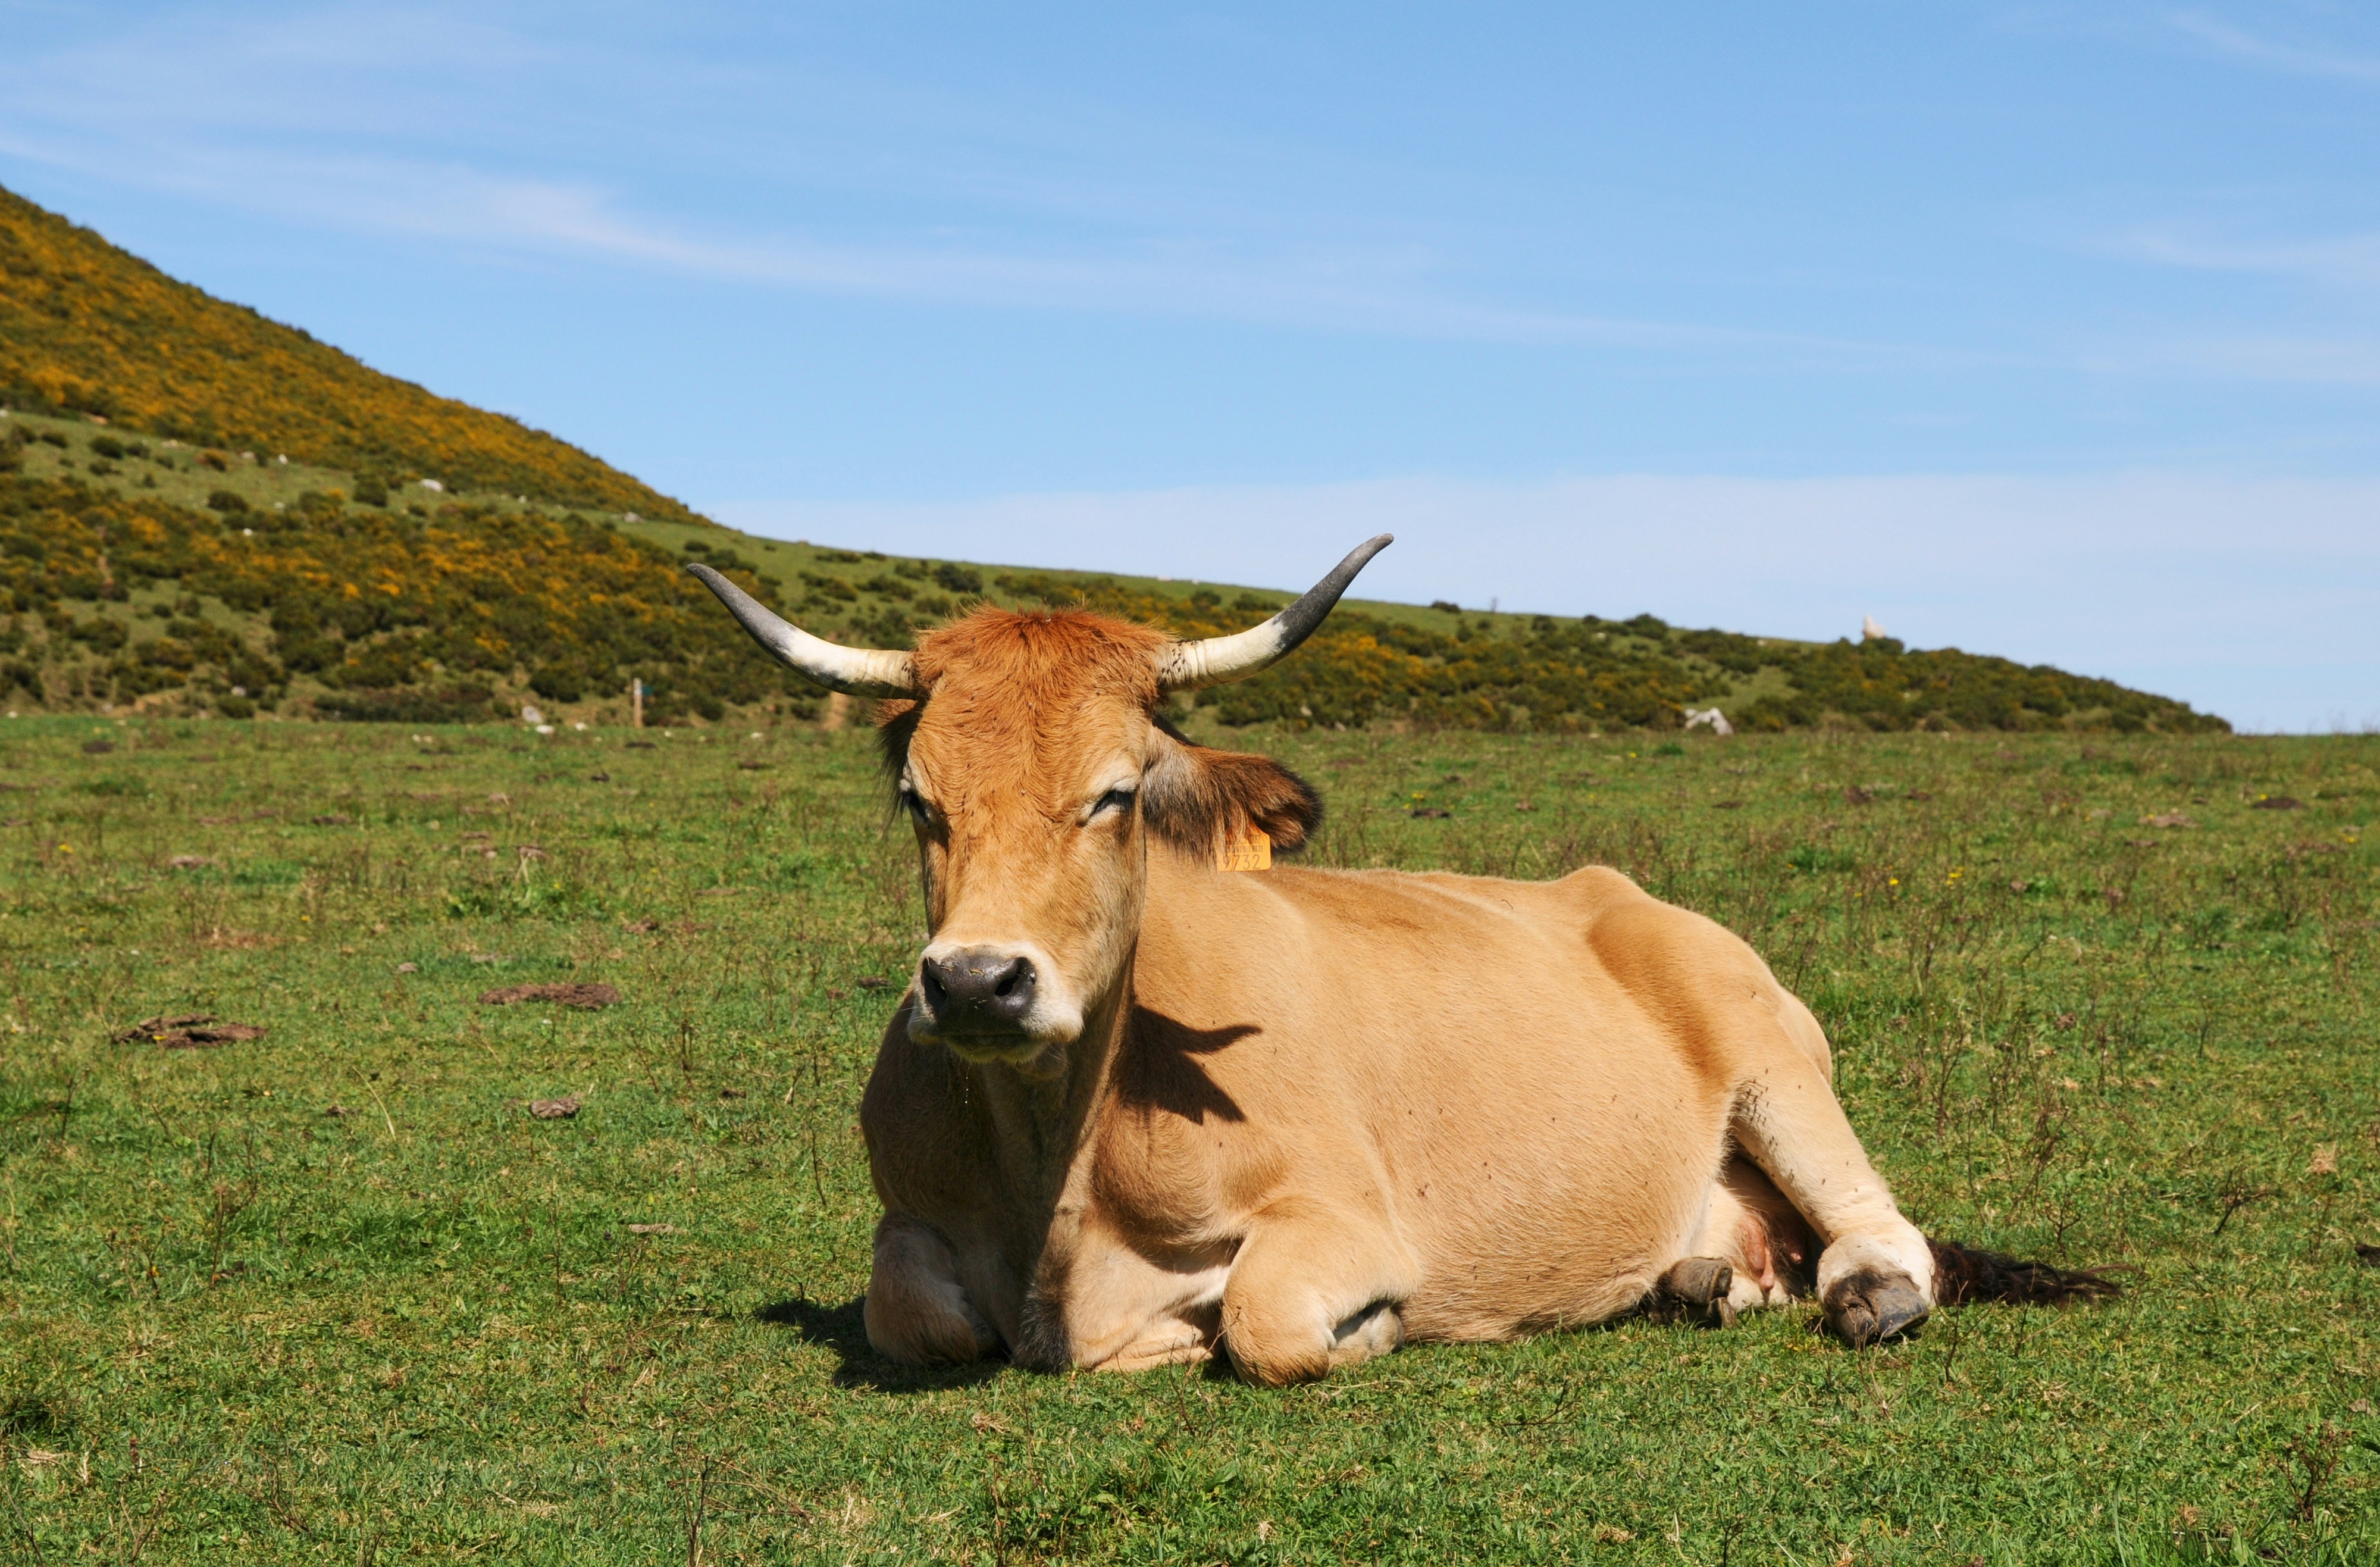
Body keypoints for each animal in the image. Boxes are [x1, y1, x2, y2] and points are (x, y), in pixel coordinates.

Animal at [691, 539, 2112, 1384]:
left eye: (1115, 792)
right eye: (918, 800)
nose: (979, 980)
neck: (1056, 1170)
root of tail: (1617, 892)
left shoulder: (1340, 1214)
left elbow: (1265, 1323)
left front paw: (1313, 1328)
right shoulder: (910, 1220)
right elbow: (913, 1310)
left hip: (1774, 1061)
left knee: (1881, 1228)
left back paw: (1865, 1292)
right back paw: (1702, 1277)